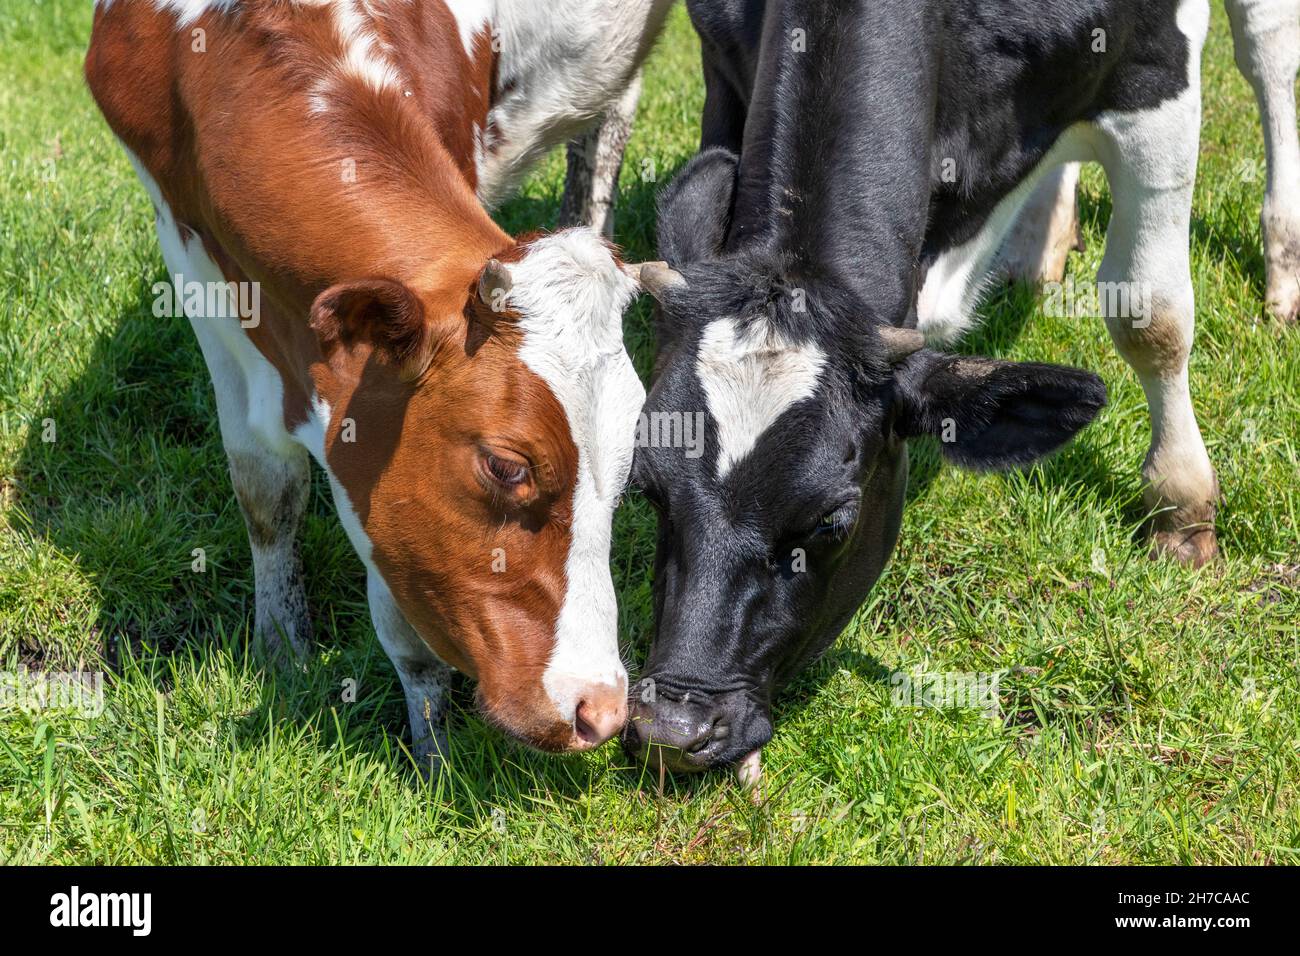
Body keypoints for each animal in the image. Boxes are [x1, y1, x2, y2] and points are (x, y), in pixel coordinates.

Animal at [83, 0, 668, 770]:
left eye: (627, 467)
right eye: (506, 466)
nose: (599, 710)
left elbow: (405, 622)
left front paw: (434, 751)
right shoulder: (191, 264)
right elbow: (265, 489)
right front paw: (284, 649)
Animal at [624, 0, 1220, 776]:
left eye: (831, 523)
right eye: (647, 489)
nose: (675, 731)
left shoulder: (1156, 70)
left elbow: (1151, 314)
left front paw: (1181, 505)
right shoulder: (718, 60)